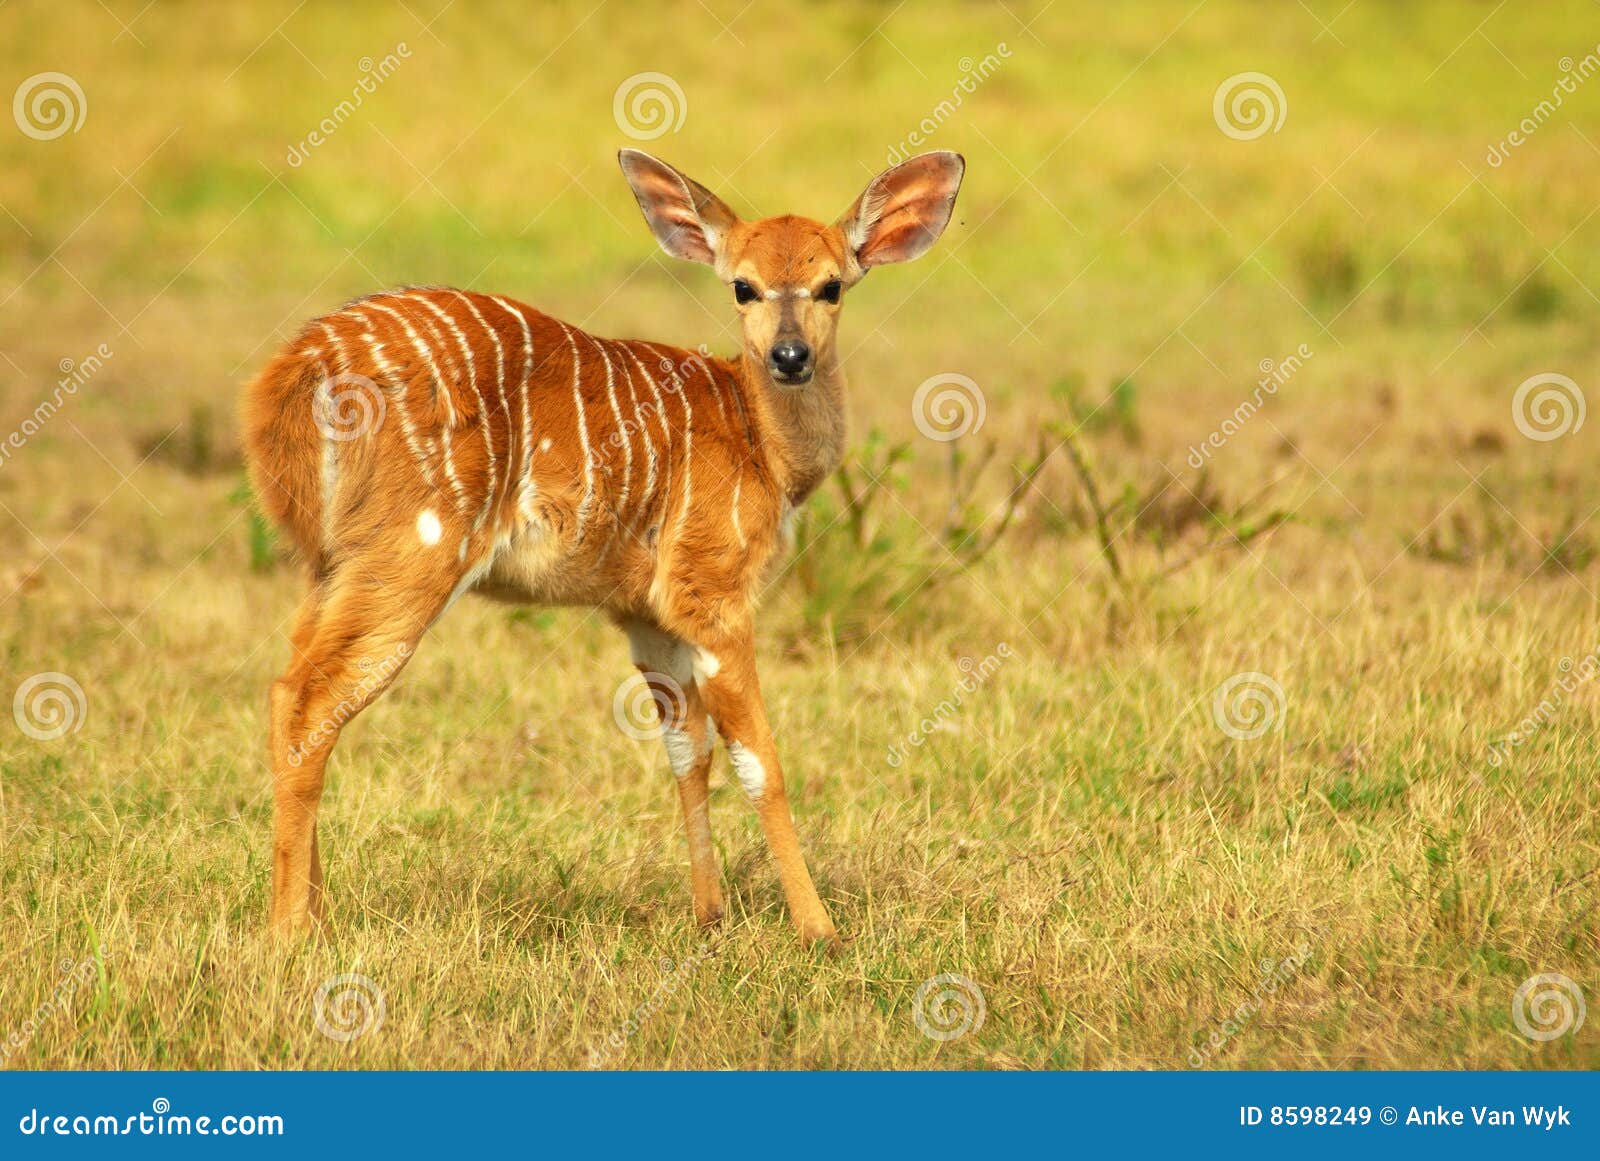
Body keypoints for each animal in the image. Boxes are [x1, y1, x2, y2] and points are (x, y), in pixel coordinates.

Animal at [243, 149, 965, 946]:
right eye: (742, 285)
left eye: (831, 284)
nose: (789, 355)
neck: (761, 443)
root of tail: (297, 369)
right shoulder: (711, 592)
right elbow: (761, 762)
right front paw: (820, 930)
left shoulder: (645, 615)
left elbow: (688, 752)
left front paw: (710, 915)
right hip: (411, 556)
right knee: (308, 700)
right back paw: (289, 932)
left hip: (332, 566)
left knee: (292, 690)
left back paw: (316, 911)